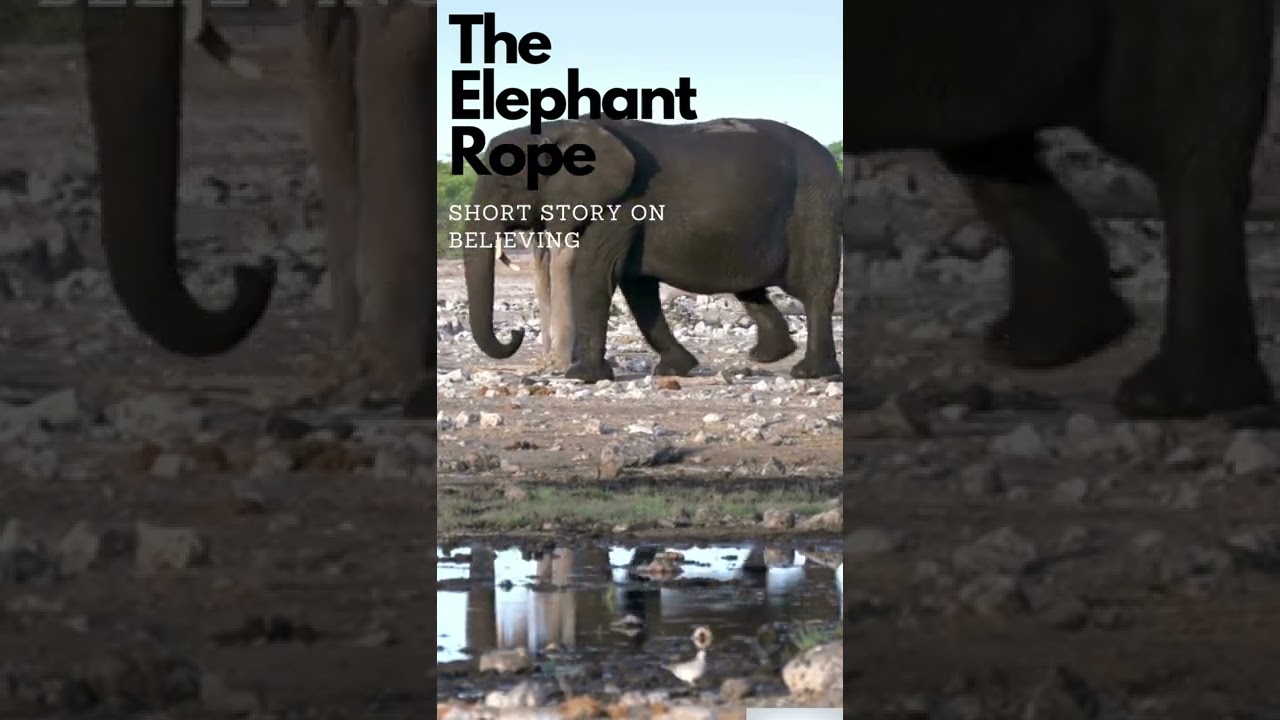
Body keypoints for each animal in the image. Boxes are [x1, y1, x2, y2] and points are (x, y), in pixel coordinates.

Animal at [463, 118, 843, 384]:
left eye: (504, 184)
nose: (516, 333)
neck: (560, 129)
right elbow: (637, 287)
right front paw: (675, 369)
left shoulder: (621, 205)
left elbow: (595, 272)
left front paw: (582, 377)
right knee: (750, 288)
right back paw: (766, 356)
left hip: (814, 204)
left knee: (814, 288)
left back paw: (810, 372)